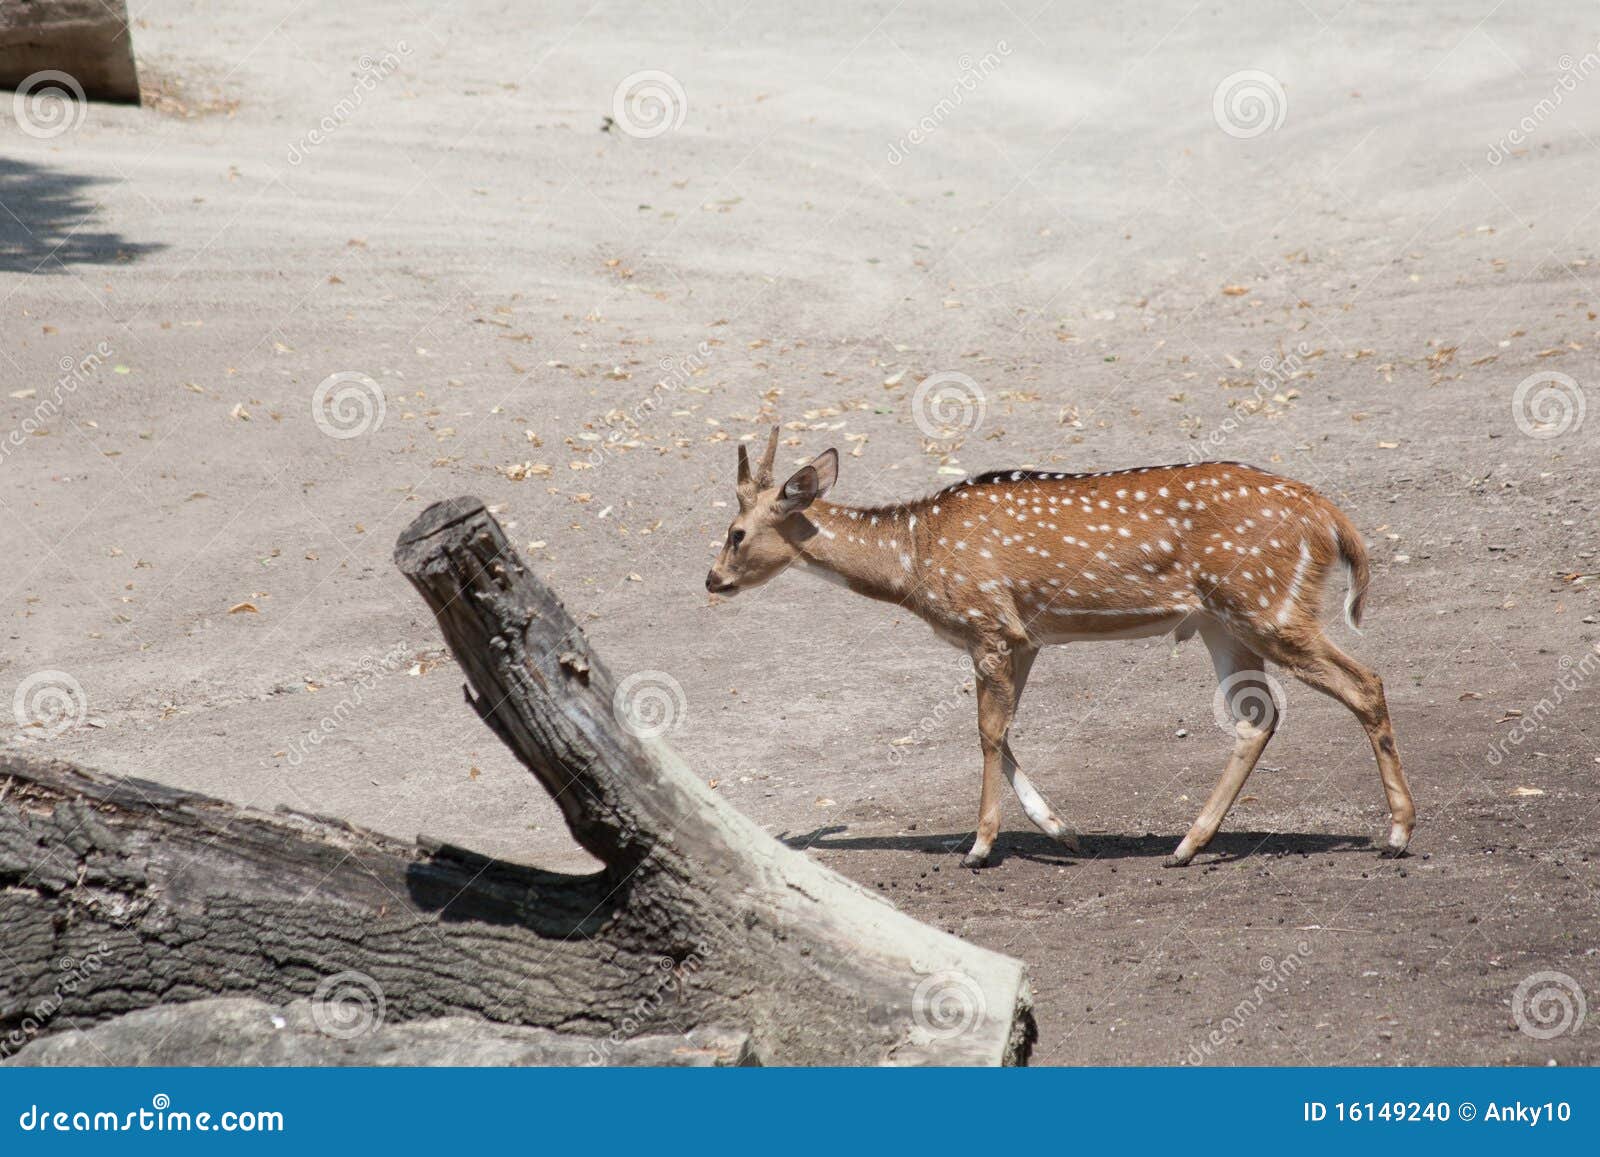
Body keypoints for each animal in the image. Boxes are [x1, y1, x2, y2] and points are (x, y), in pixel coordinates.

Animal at [706, 427, 1415, 870]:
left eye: (736, 533)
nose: (712, 580)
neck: (915, 559)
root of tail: (1328, 515)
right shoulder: (1024, 636)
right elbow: (1004, 728)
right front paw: (1062, 832)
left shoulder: (988, 625)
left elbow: (987, 731)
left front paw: (980, 847)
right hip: (1225, 621)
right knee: (1257, 717)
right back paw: (1187, 845)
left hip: (1268, 605)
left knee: (1364, 682)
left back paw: (1398, 833)